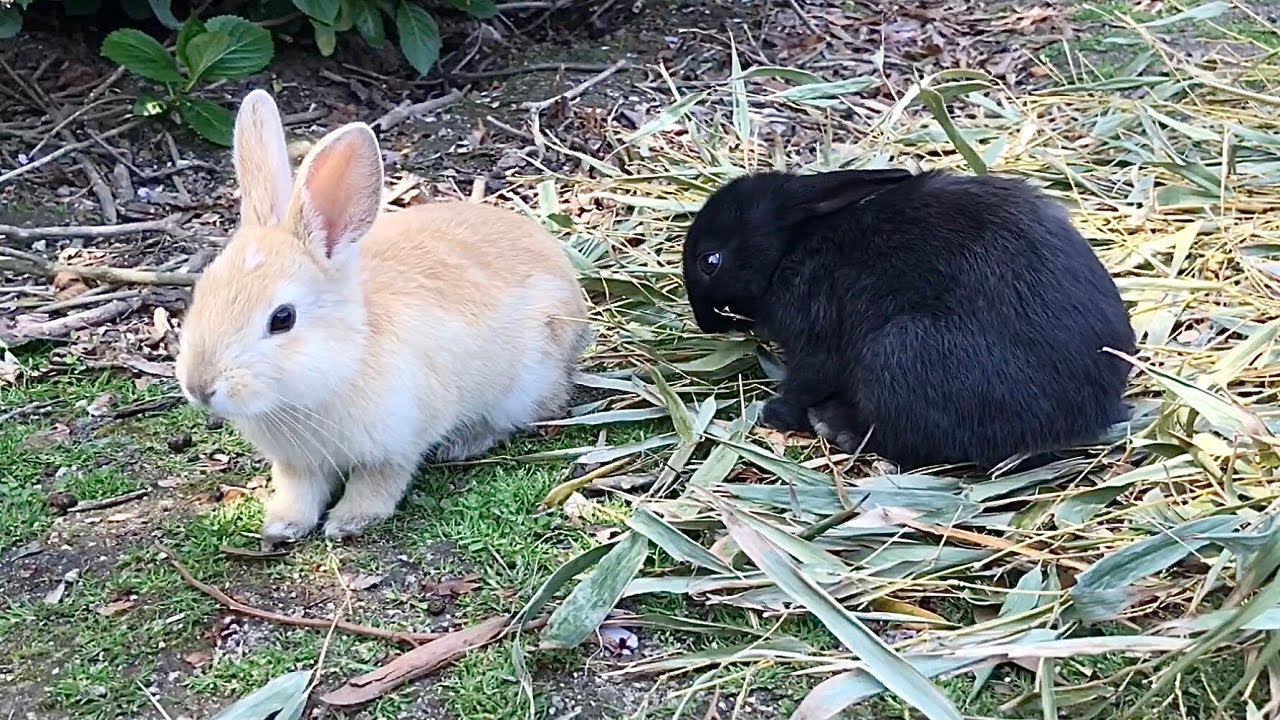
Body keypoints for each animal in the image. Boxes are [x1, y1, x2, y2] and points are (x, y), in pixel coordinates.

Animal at [175, 90, 590, 542]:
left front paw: (348, 522)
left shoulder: (397, 444)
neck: (345, 358)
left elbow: (378, 482)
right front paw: (282, 525)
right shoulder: (298, 464)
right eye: (201, 291)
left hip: (524, 383)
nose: (200, 387)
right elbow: (298, 490)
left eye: (282, 318)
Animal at [682, 167, 1134, 470]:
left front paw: (774, 413)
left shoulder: (816, 336)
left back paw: (835, 426)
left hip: (899, 351)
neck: (788, 251)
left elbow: (807, 378)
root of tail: (1088, 412)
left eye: (710, 261)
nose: (707, 324)